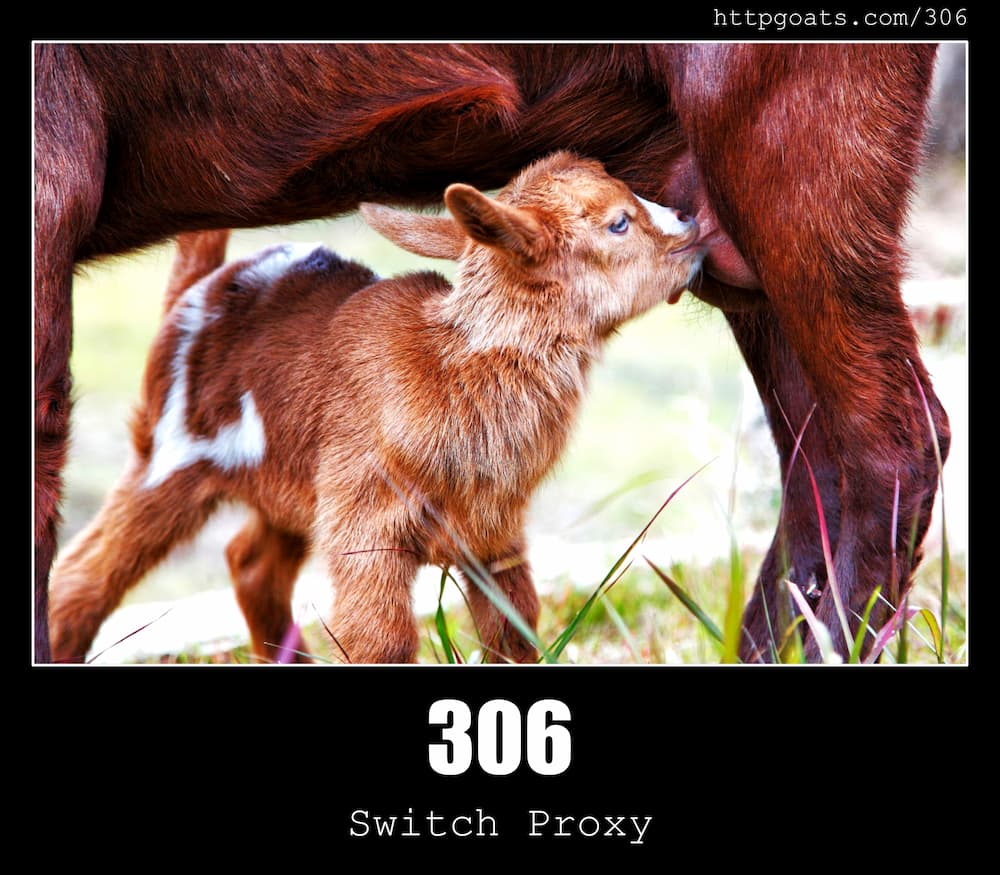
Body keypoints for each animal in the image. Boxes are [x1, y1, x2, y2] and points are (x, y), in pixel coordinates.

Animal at [47, 151, 704, 664]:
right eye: (618, 223)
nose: (692, 223)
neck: (454, 368)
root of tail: (199, 290)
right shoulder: (367, 526)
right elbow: (380, 640)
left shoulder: (494, 530)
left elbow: (513, 628)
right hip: (170, 456)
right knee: (84, 578)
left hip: (292, 483)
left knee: (251, 563)